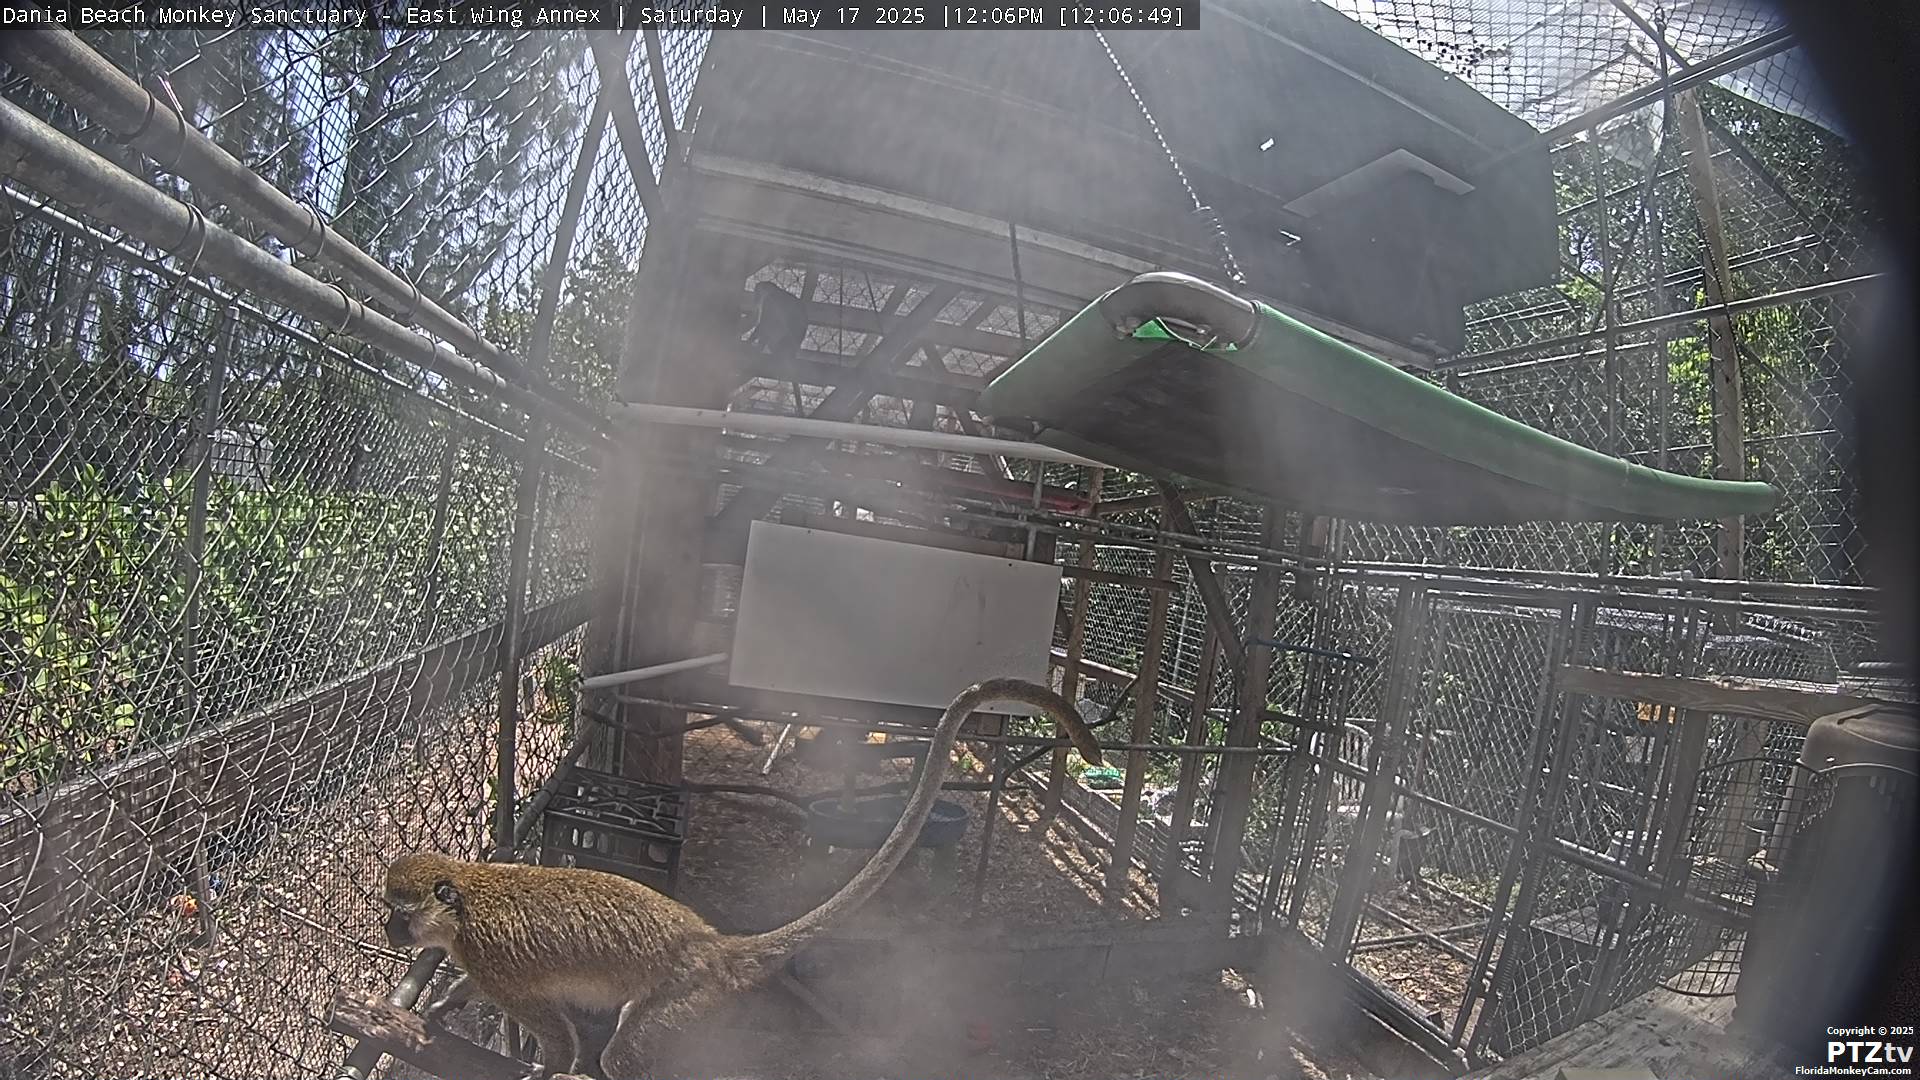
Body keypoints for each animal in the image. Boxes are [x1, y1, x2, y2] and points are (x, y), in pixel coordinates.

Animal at [383, 678, 1102, 1080]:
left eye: (398, 909)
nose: (388, 930)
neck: (465, 899)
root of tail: (709, 943)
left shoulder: (494, 964)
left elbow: (556, 1037)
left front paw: (548, 1070)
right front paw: (441, 1008)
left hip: (682, 994)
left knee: (622, 1057)